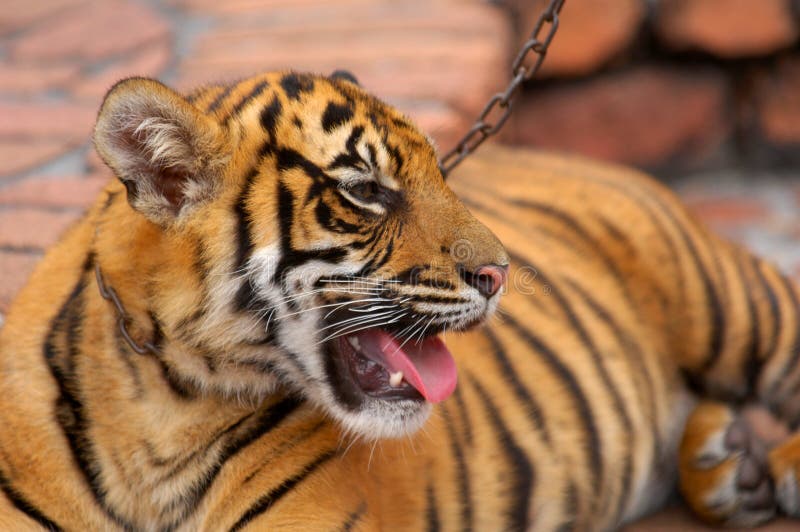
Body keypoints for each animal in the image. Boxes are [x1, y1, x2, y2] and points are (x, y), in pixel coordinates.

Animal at [1, 68, 800, 531]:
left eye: (441, 174)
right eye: (367, 190)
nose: (501, 272)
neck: (163, 408)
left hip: (726, 299)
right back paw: (727, 463)